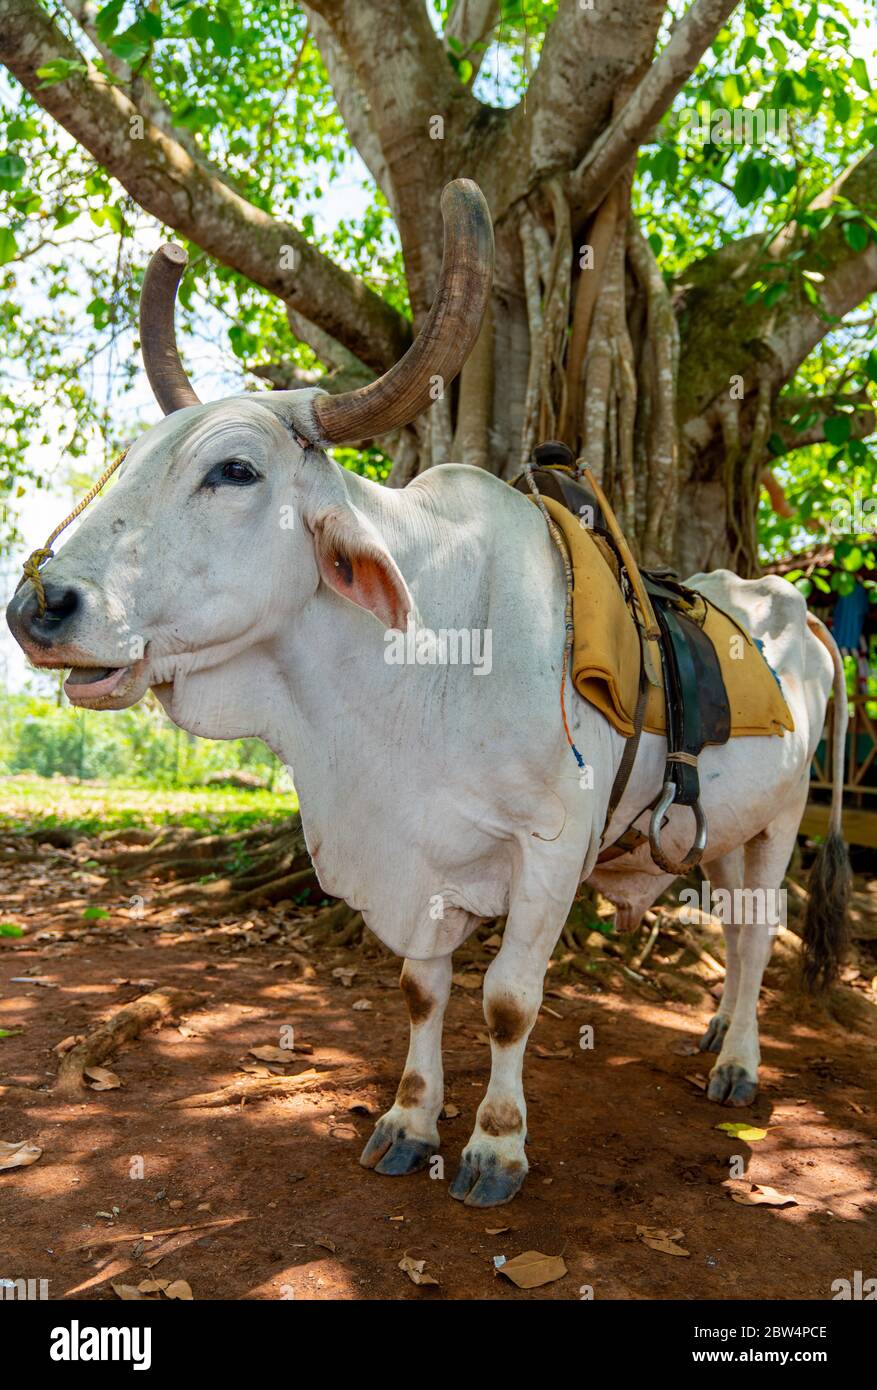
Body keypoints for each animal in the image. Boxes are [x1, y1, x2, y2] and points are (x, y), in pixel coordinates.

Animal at [6, 180, 849, 1208]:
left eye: (235, 470)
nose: (41, 604)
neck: (414, 675)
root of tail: (792, 608)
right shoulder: (418, 857)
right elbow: (422, 989)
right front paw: (409, 1122)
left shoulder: (550, 850)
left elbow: (509, 1001)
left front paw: (493, 1145)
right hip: (722, 834)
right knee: (731, 935)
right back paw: (717, 1031)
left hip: (782, 824)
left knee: (758, 937)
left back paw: (737, 1062)